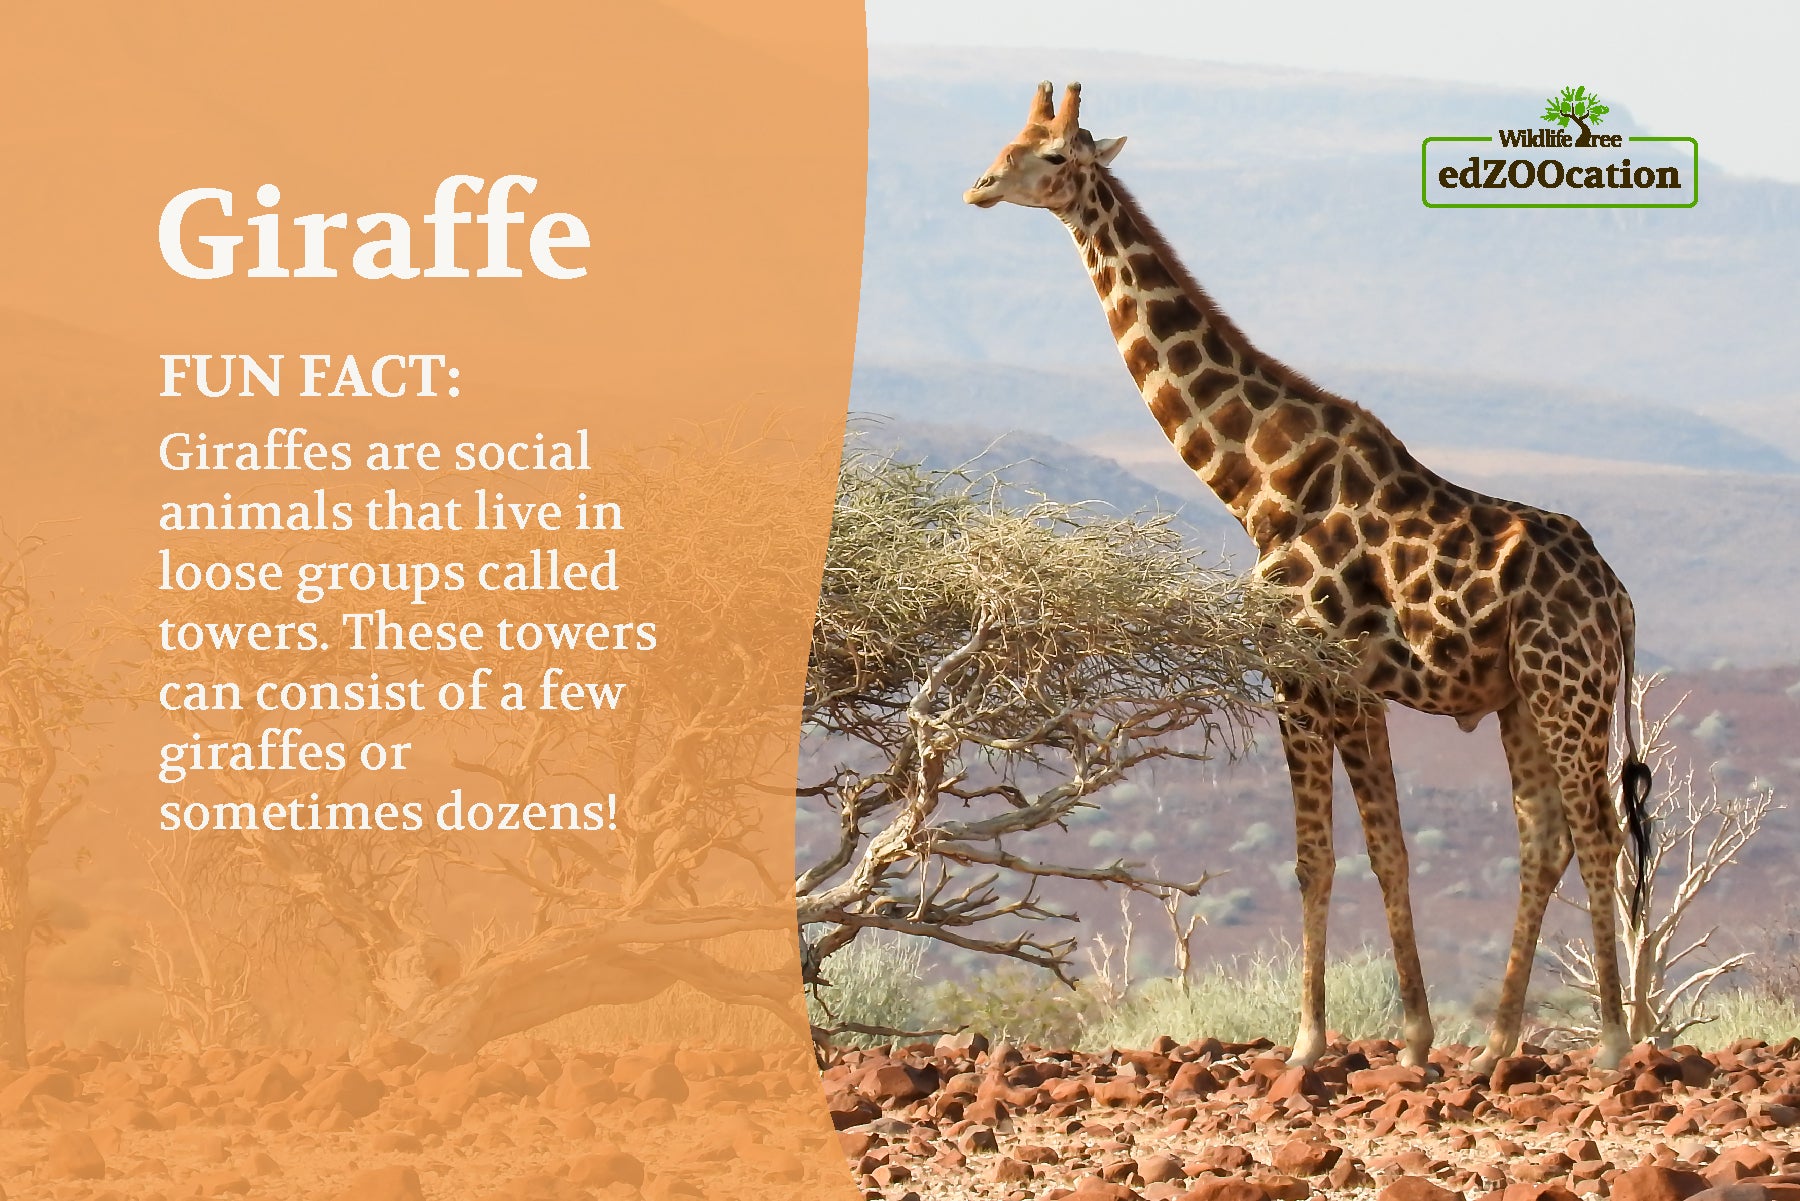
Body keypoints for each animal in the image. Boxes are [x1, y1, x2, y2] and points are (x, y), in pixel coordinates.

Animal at [964, 82, 1654, 1071]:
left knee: (1596, 833)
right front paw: (1413, 1039)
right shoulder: (1340, 680)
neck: (1254, 479)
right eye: (1009, 142)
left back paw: (1607, 1044)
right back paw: (1495, 1045)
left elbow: (1323, 855)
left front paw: (1310, 1041)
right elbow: (1380, 848)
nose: (979, 186)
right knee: (1545, 836)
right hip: (1523, 696)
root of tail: (1619, 599)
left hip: (1571, 688)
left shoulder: (1309, 671)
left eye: (1052, 155)